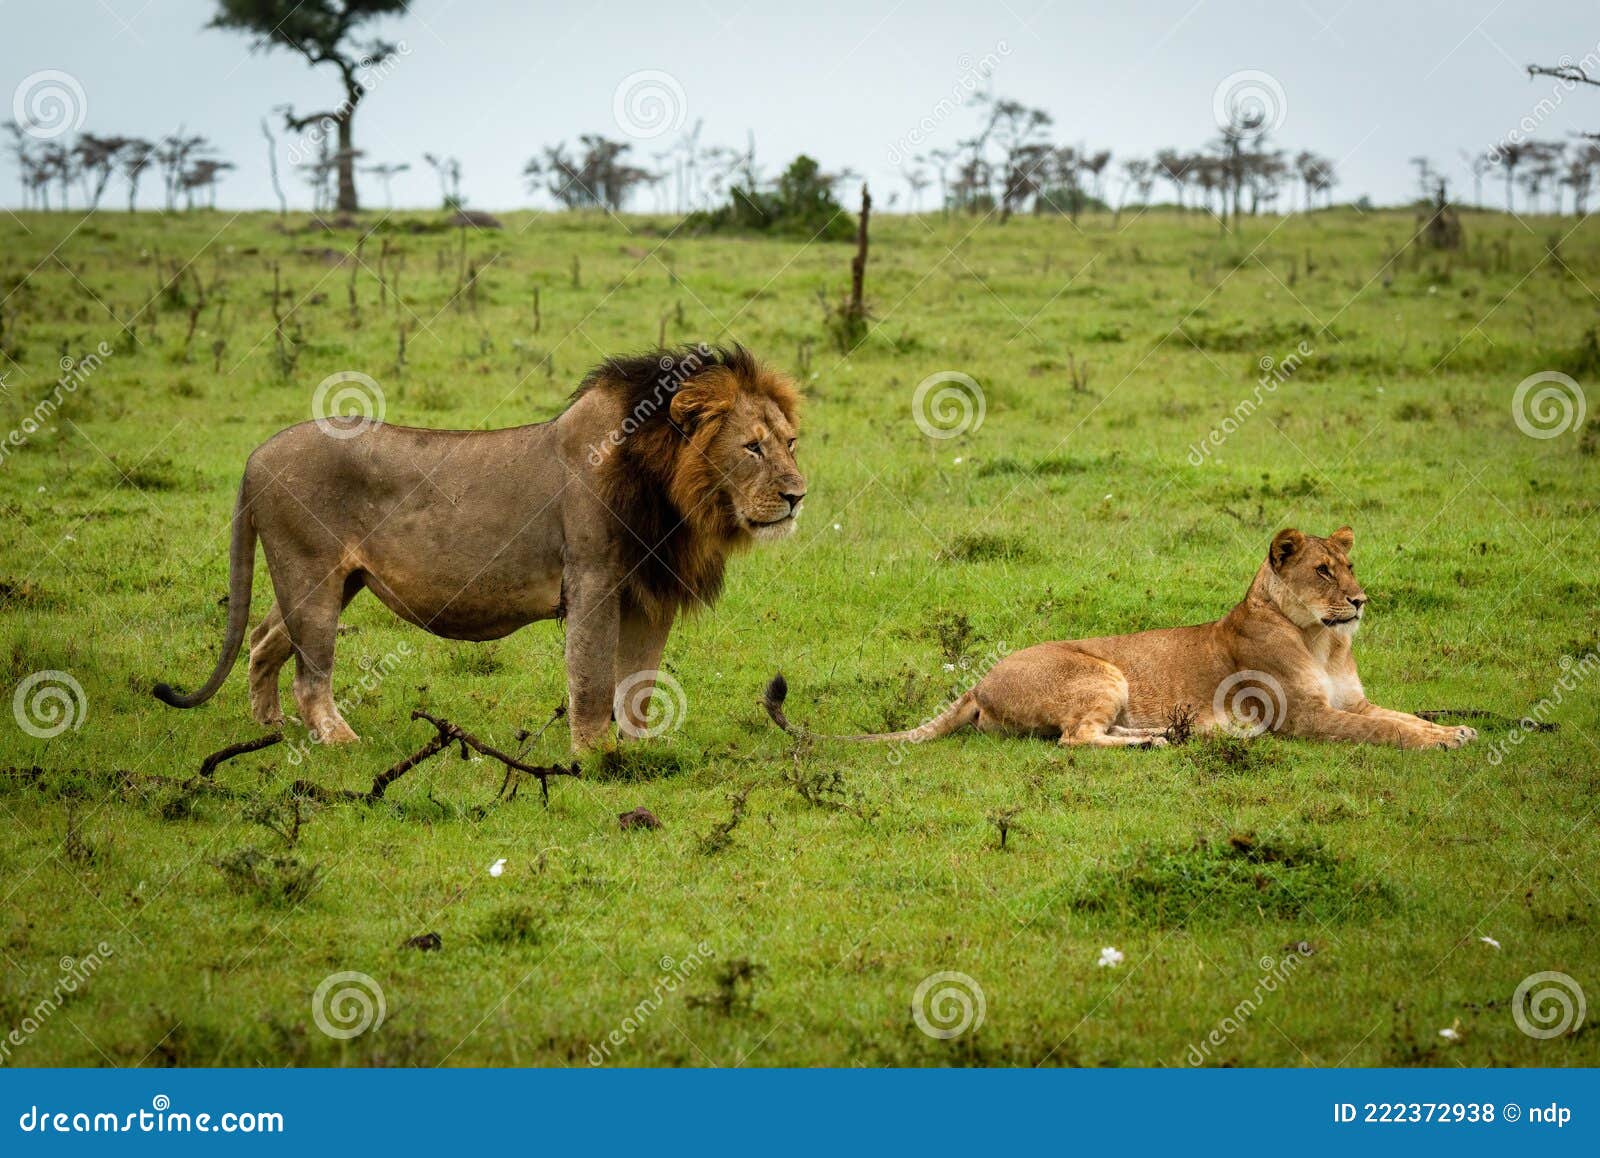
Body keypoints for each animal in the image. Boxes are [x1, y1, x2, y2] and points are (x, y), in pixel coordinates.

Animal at [154, 344, 805, 750]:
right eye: (751, 446)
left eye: (791, 442)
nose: (798, 495)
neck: (669, 491)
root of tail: (254, 455)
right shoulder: (593, 581)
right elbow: (594, 677)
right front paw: (596, 756)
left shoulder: (648, 594)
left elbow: (639, 684)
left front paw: (642, 749)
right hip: (310, 576)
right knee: (310, 675)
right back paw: (338, 741)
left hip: (334, 580)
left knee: (264, 640)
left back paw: (270, 726)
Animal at [765, 526, 1477, 751]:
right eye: (1323, 570)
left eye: (1350, 565)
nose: (1360, 601)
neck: (1324, 640)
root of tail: (978, 680)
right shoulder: (1303, 717)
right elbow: (1383, 731)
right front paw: (1442, 743)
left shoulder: (1351, 700)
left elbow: (1398, 716)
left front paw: (1456, 729)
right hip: (1104, 671)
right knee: (1076, 739)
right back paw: (1153, 744)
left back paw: (1170, 735)